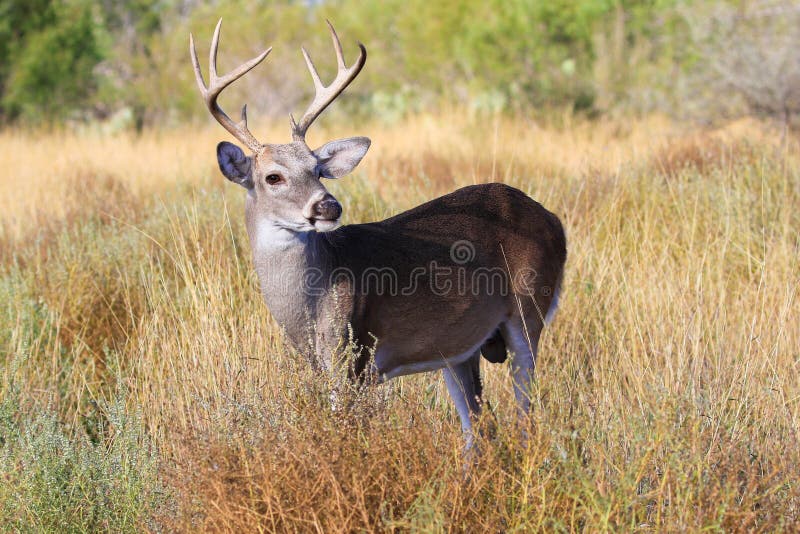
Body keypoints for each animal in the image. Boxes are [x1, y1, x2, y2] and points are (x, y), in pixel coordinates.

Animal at [189, 20, 566, 449]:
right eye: (273, 177)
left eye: (317, 170)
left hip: (528, 310)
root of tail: (554, 220)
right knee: (479, 426)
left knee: (525, 415)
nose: (328, 206)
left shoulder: (351, 356)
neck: (311, 304)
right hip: (459, 349)